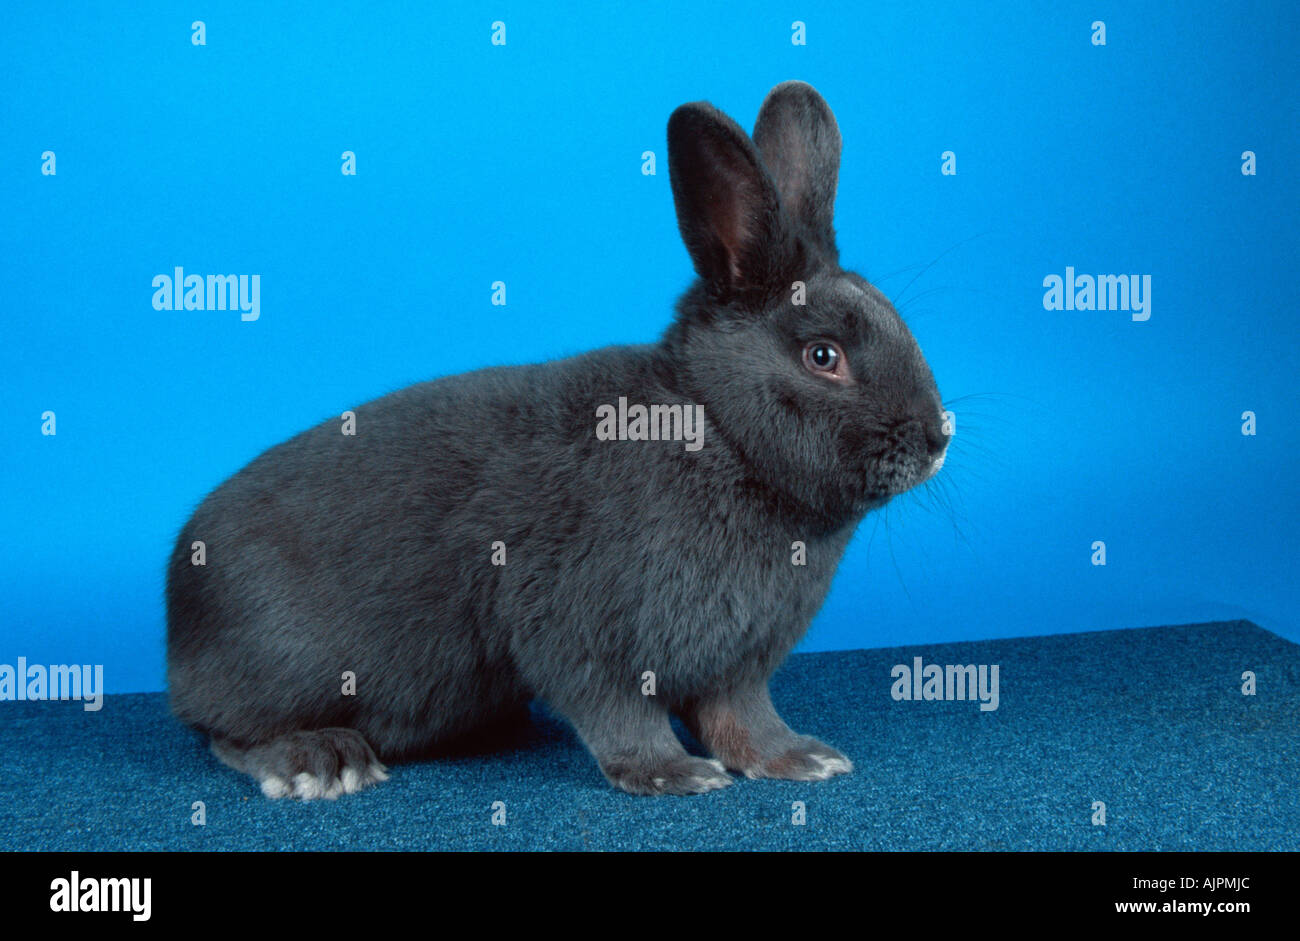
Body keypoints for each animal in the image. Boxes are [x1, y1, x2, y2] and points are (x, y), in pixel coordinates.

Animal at [166, 80, 950, 799]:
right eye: (823, 356)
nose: (938, 438)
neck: (716, 428)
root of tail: (178, 609)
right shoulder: (585, 636)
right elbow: (621, 716)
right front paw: (675, 774)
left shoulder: (738, 665)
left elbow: (743, 720)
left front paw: (801, 759)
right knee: (223, 734)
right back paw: (320, 763)